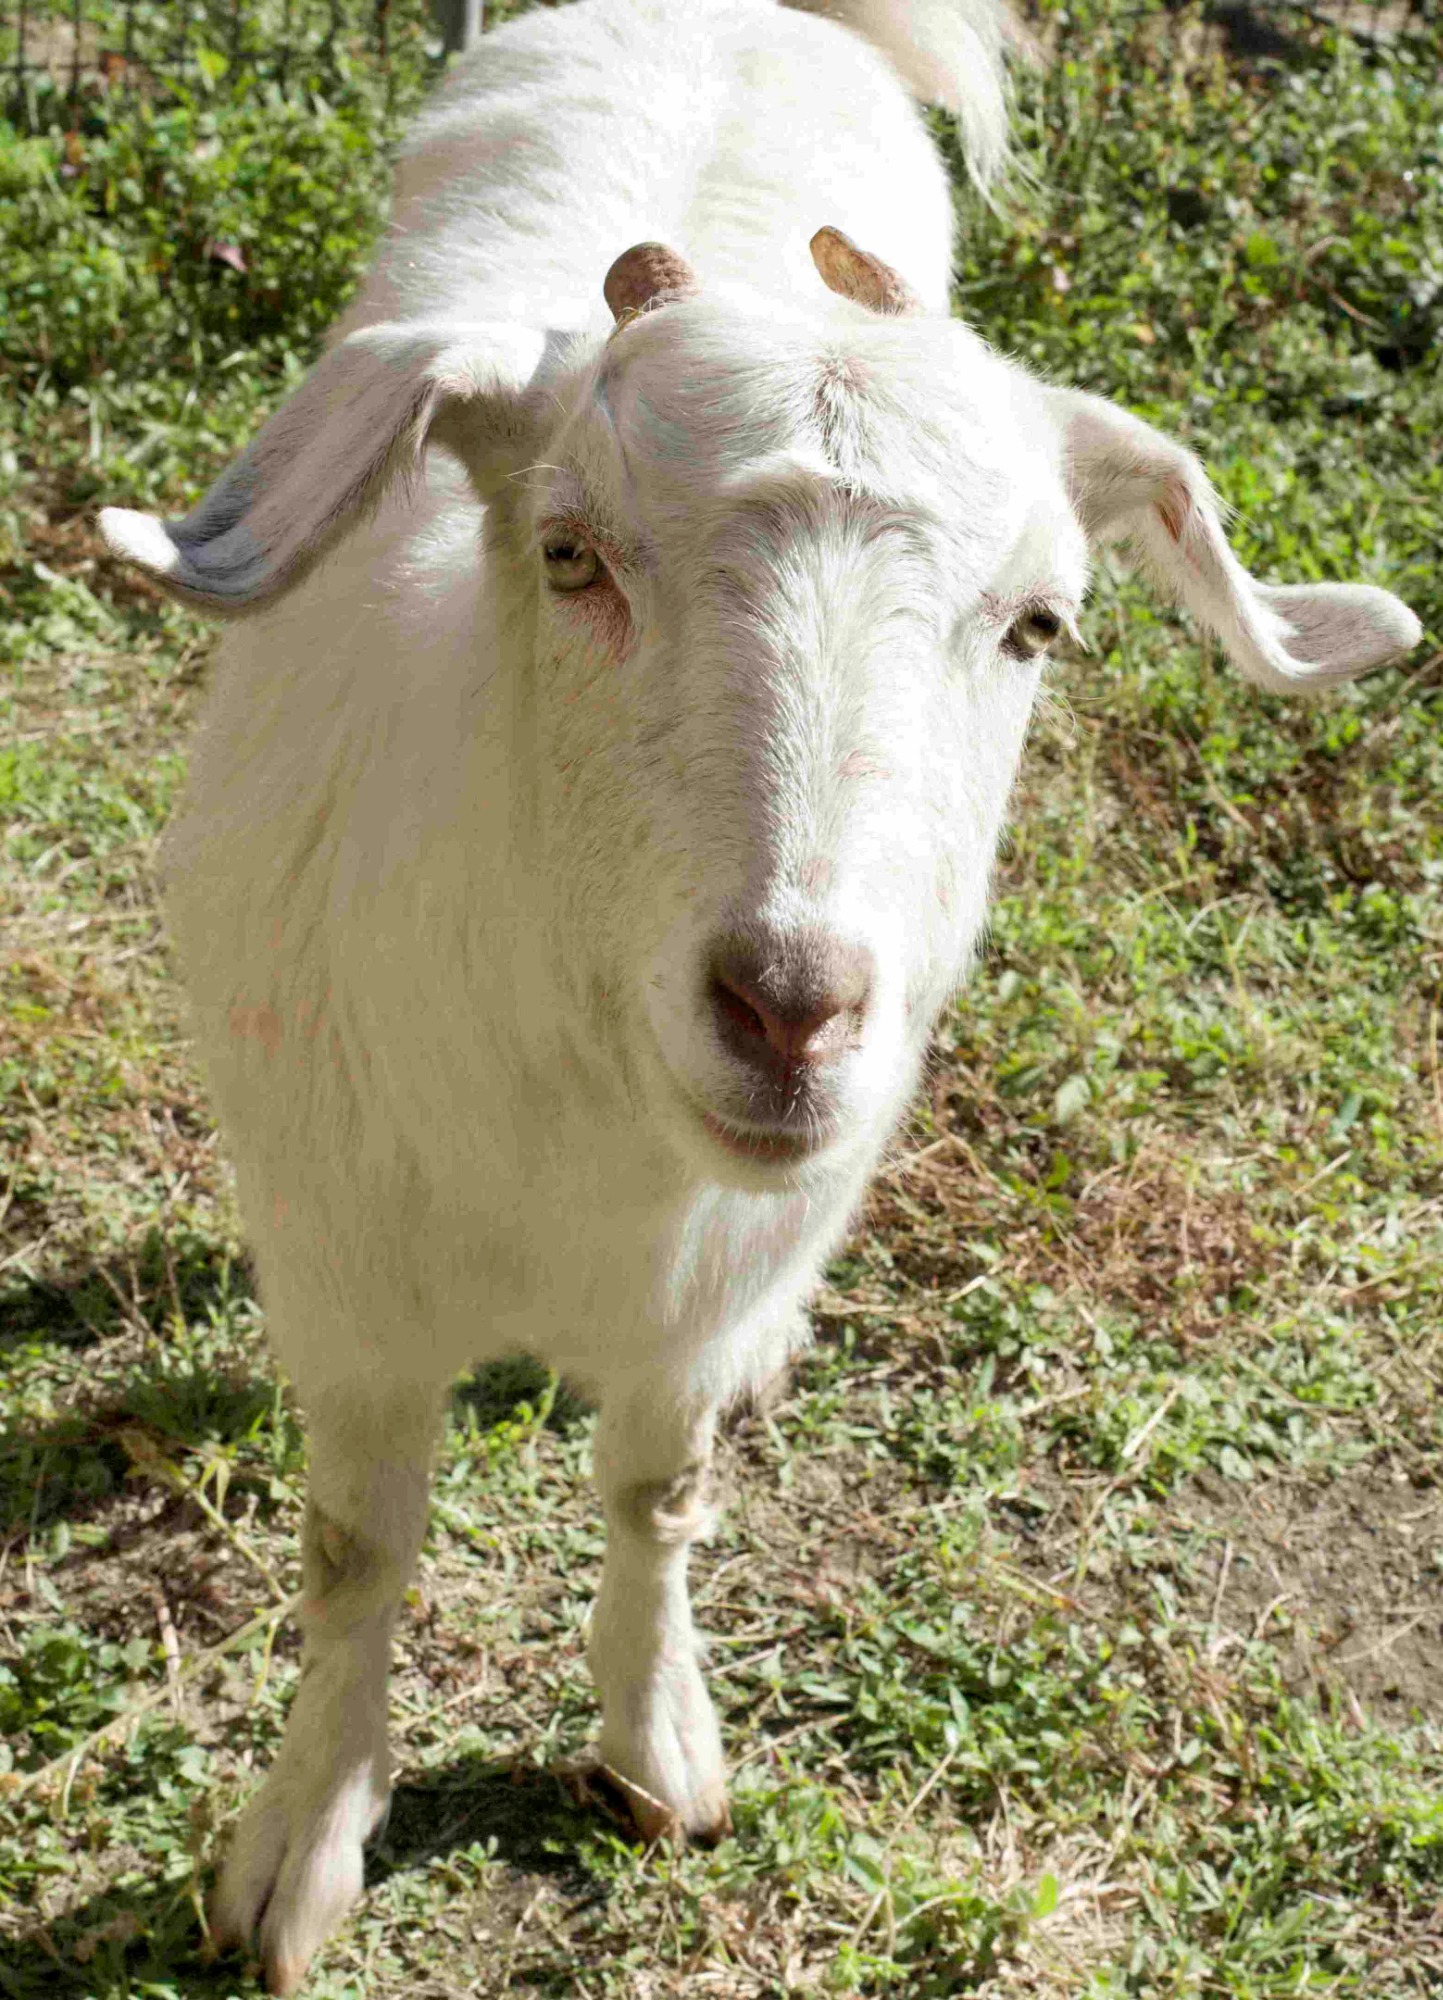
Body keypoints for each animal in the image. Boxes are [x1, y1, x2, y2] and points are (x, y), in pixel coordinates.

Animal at [100, 0, 1421, 1989]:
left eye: (1039, 622)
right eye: (567, 550)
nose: (791, 1006)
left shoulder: (705, 1283)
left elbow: (656, 1491)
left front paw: (654, 1751)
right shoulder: (348, 1274)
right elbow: (353, 1548)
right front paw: (296, 1860)